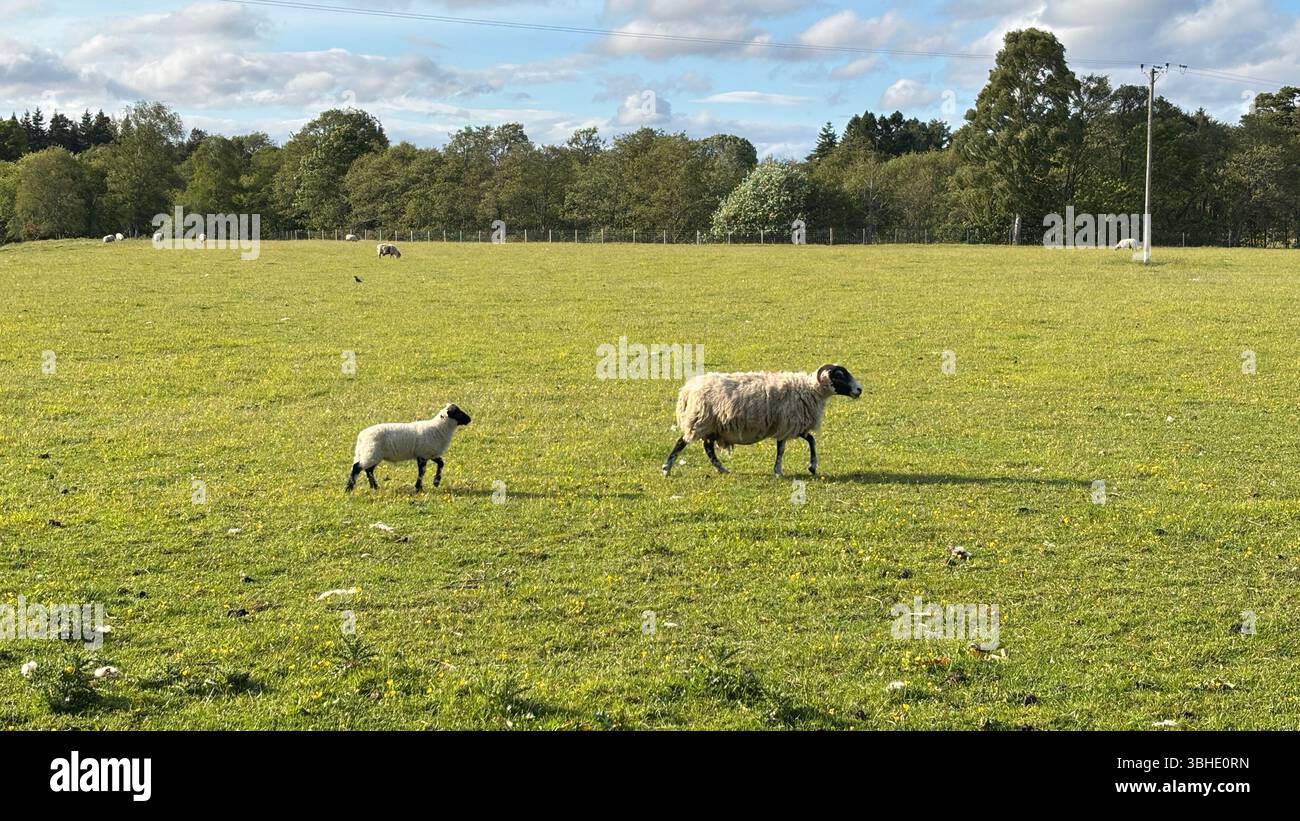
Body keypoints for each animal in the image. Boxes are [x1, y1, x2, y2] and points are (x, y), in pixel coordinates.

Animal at [662, 364, 862, 477]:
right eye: (839, 375)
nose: (859, 390)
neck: (810, 389)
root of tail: (687, 390)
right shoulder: (787, 423)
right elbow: (785, 448)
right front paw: (784, 470)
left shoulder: (790, 425)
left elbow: (808, 441)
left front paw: (808, 467)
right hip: (700, 421)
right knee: (682, 442)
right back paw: (666, 469)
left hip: (711, 426)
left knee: (708, 447)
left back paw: (721, 469)